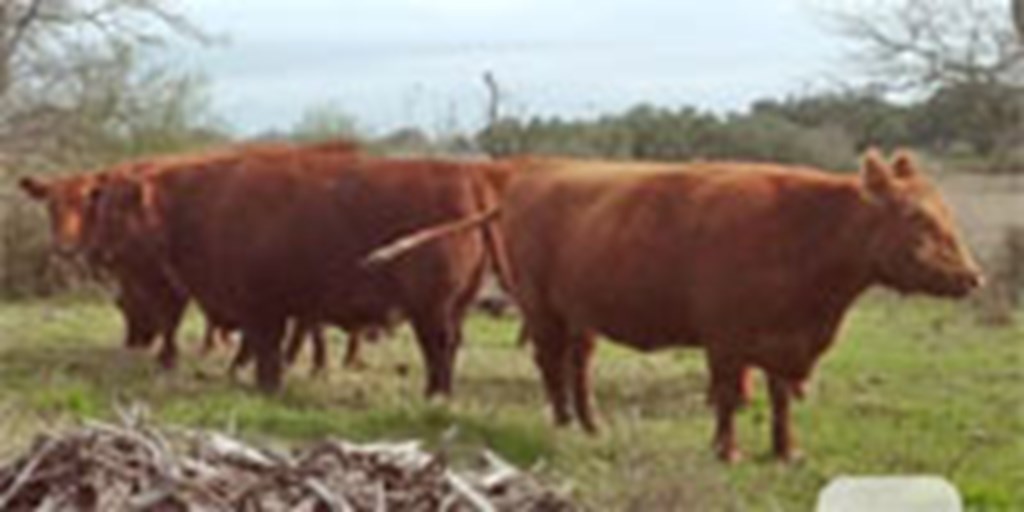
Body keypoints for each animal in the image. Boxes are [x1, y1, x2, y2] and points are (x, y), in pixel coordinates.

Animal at [86, 149, 508, 394]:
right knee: (448, 348)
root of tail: (470, 181)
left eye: (115, 211)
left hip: (431, 310)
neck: (201, 201)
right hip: (452, 308)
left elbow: (267, 349)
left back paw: (435, 396)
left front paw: (265, 386)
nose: (96, 250)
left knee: (438, 348)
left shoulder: (264, 308)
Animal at [364, 151, 983, 462]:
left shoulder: (779, 342)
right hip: (542, 308)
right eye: (917, 218)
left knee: (577, 365)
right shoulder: (727, 340)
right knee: (550, 364)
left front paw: (786, 452)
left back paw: (590, 424)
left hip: (582, 315)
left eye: (944, 212)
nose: (972, 277)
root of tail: (531, 175)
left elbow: (780, 400)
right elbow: (729, 399)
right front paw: (726, 452)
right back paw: (563, 423)